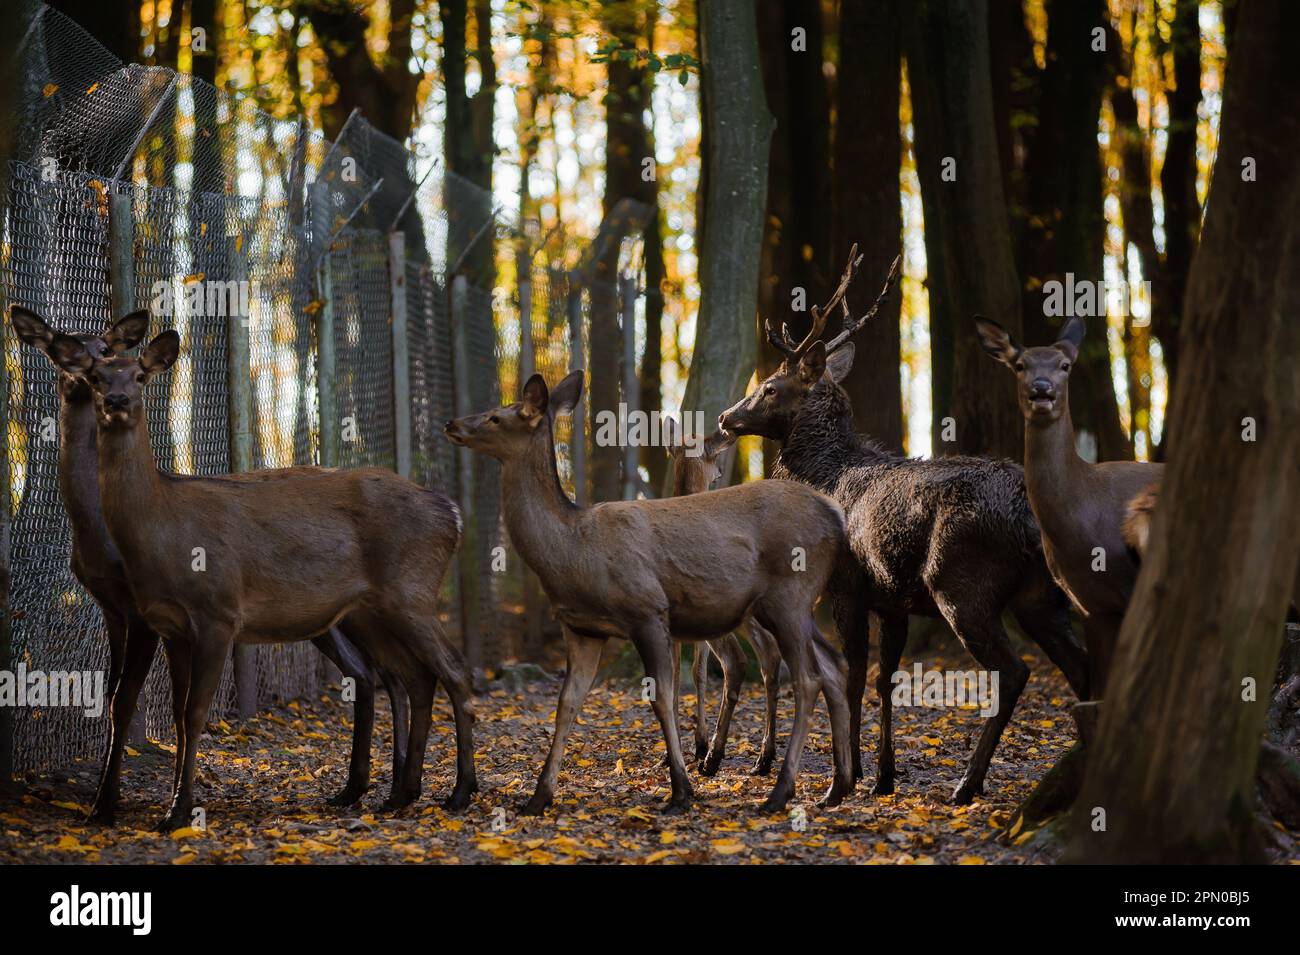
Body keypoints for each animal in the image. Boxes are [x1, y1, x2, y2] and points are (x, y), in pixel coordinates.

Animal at [39, 323, 473, 832]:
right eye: (97, 376)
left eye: (139, 376)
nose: (118, 400)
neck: (164, 527)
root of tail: (452, 515)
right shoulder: (169, 624)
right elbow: (176, 712)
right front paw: (165, 805)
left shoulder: (217, 613)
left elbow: (194, 712)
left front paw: (177, 811)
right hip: (369, 610)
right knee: (413, 677)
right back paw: (400, 793)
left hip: (412, 592)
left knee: (453, 670)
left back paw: (460, 791)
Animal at [662, 420, 785, 776]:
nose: (718, 472)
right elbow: (686, 675)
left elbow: (686, 675)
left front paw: (691, 746)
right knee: (771, 656)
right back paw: (763, 758)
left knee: (736, 661)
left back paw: (713, 758)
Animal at [720, 249, 1090, 804]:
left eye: (768, 387)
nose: (726, 417)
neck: (826, 474)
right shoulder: (892, 598)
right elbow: (885, 679)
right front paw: (883, 777)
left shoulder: (846, 585)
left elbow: (853, 675)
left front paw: (843, 780)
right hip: (1041, 594)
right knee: (1082, 665)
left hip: (960, 580)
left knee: (1014, 671)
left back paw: (967, 783)